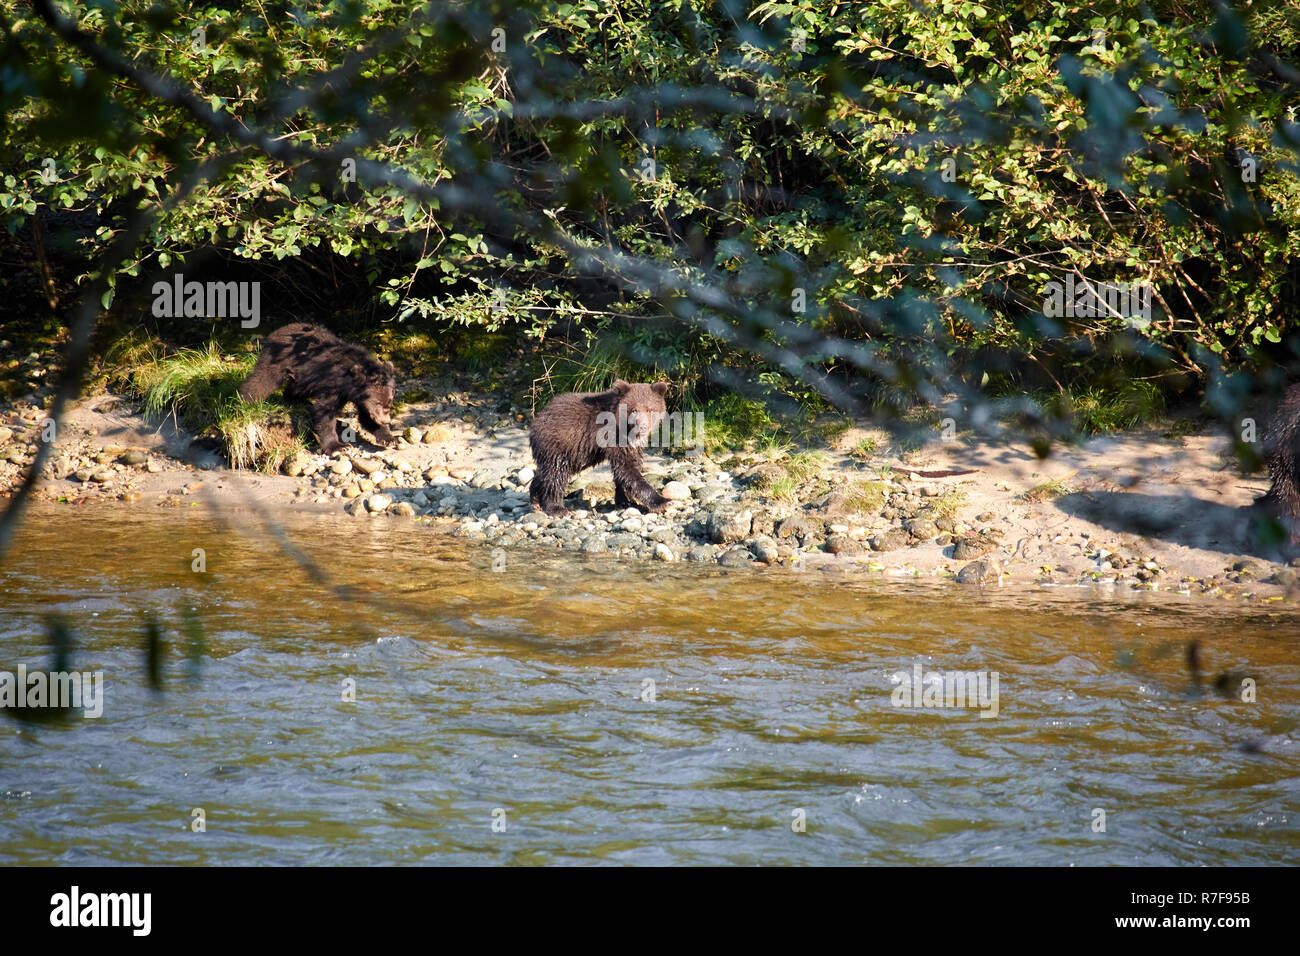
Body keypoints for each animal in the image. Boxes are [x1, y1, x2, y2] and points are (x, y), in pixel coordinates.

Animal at [237, 322, 396, 456]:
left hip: (301, 376)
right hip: (277, 360)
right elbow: (325, 411)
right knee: (262, 379)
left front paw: (388, 438)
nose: (386, 421)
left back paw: (294, 400)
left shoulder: (358, 395)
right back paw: (245, 400)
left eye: (389, 401)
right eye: (377, 402)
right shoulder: (334, 384)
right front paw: (338, 446)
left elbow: (366, 416)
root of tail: (279, 329)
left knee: (294, 389)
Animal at [529, 380, 671, 516]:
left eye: (650, 409)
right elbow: (627, 469)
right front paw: (663, 501)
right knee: (556, 475)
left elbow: (629, 468)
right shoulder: (612, 436)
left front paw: (624, 501)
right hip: (558, 445)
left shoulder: (631, 444)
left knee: (545, 473)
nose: (642, 427)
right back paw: (556, 508)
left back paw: (535, 499)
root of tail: (538, 419)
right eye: (634, 409)